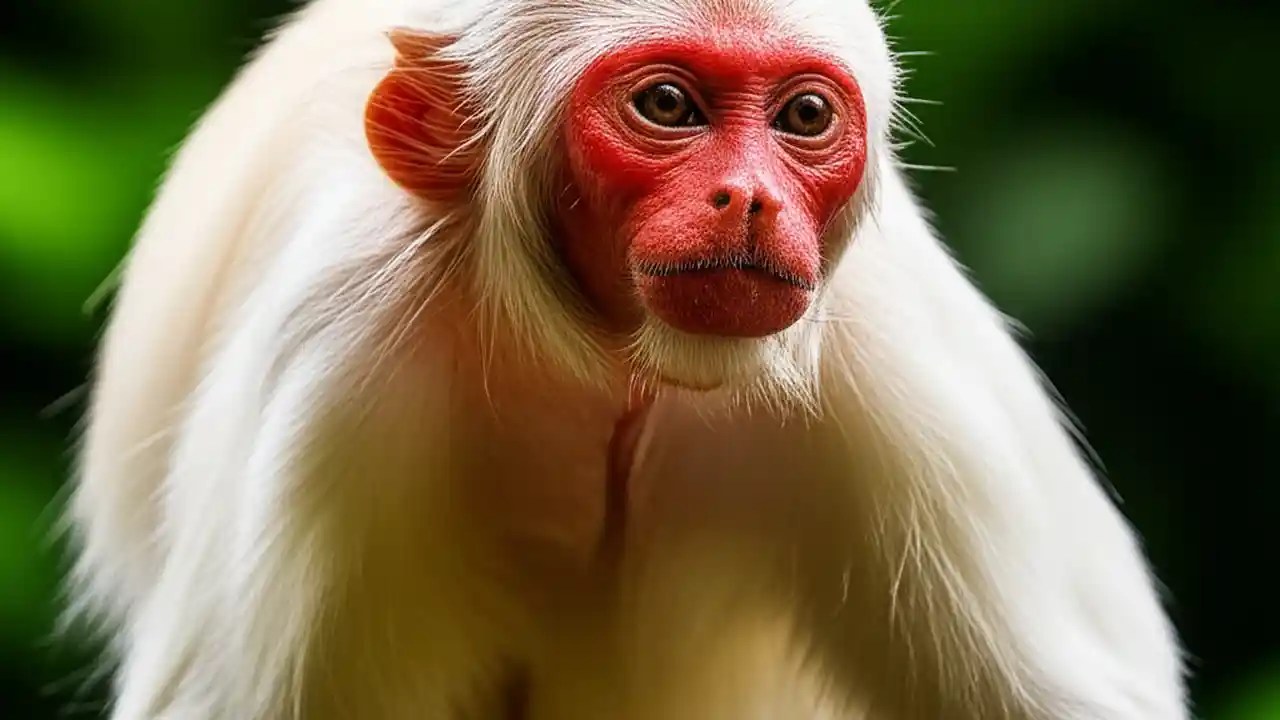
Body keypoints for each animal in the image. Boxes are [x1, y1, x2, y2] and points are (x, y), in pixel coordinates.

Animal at [66, 0, 1188, 718]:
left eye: (803, 117)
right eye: (667, 107)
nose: (751, 198)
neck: (617, 374)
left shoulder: (889, 384)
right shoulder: (341, 368)